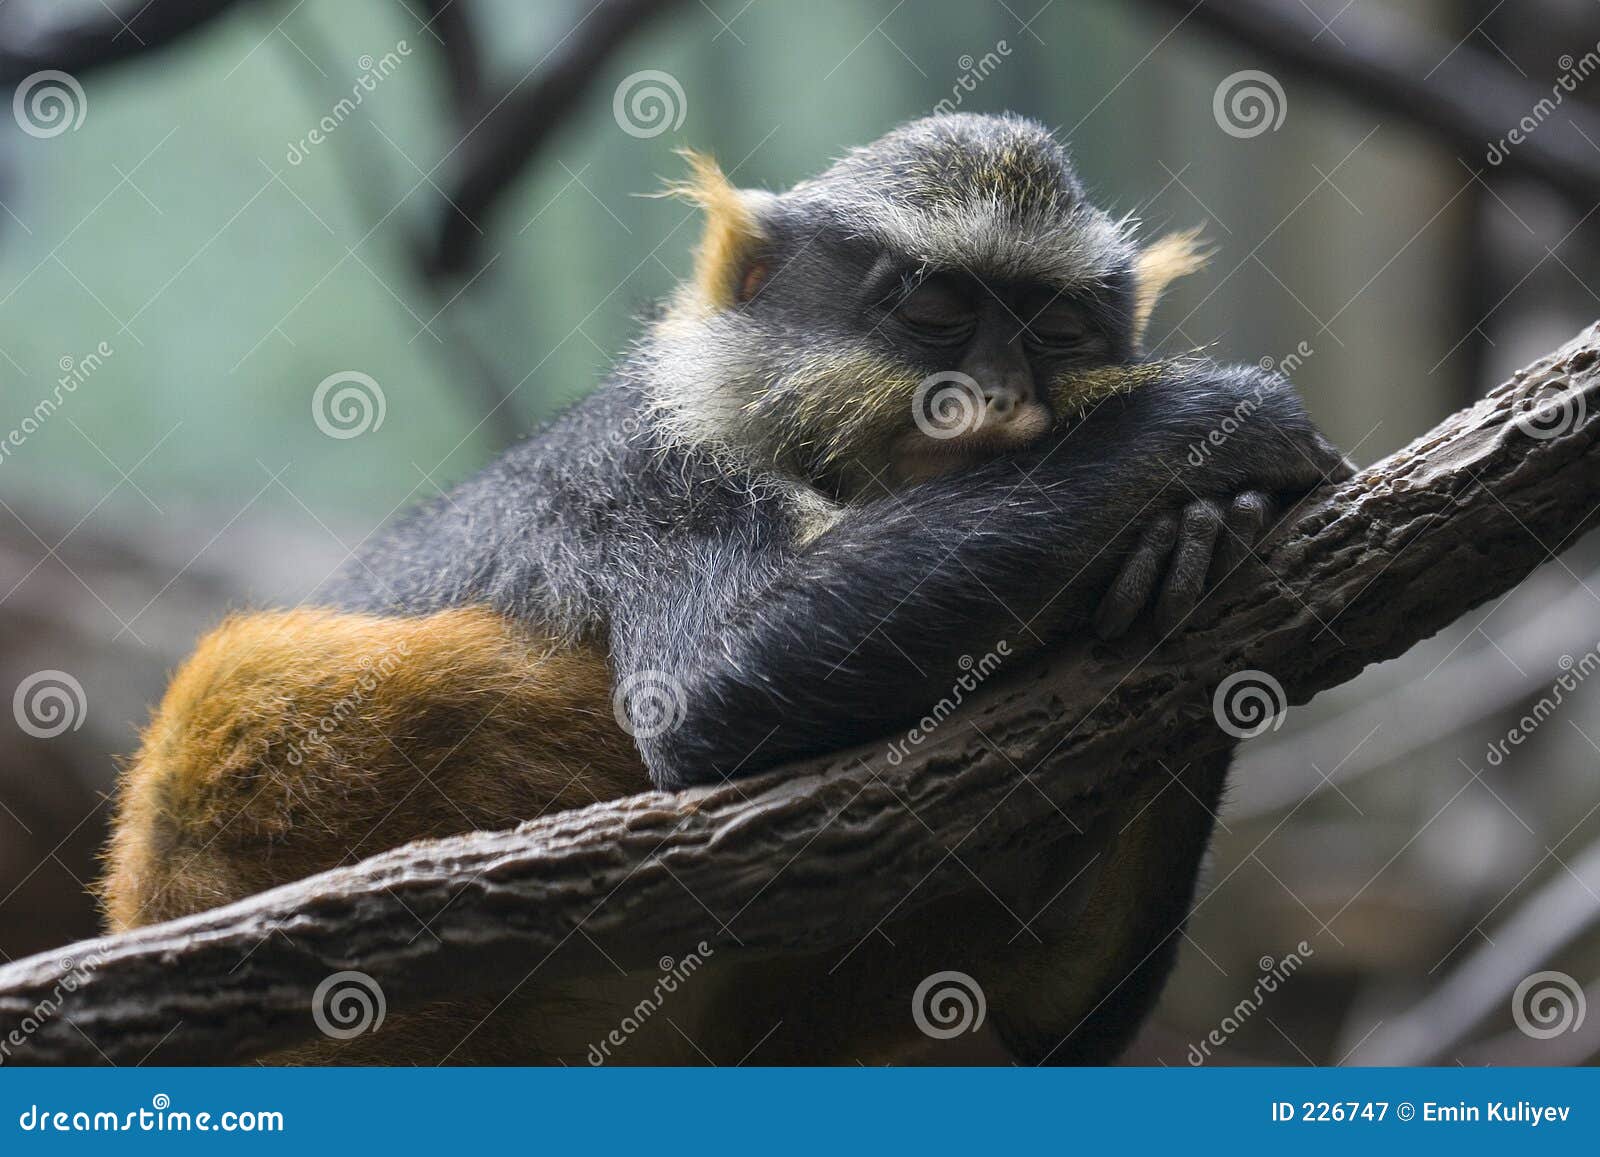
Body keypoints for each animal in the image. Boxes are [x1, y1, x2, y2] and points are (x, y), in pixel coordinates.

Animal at [101, 113, 1352, 1065]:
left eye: (1054, 329)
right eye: (935, 311)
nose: (999, 399)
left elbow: (1030, 1019)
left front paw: (1209, 529)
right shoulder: (651, 473)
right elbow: (714, 683)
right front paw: (1214, 421)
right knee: (229, 695)